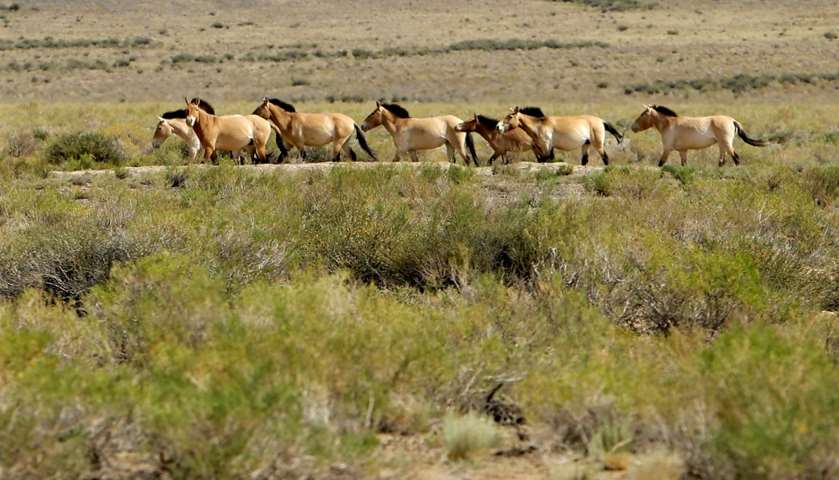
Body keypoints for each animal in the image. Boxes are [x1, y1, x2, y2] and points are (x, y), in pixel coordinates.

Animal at [630, 105, 770, 166]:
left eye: (642, 114)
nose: (633, 127)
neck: (669, 124)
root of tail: (732, 120)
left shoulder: (667, 149)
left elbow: (660, 163)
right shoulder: (683, 151)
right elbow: (684, 165)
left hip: (727, 143)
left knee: (736, 157)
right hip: (721, 145)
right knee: (722, 161)